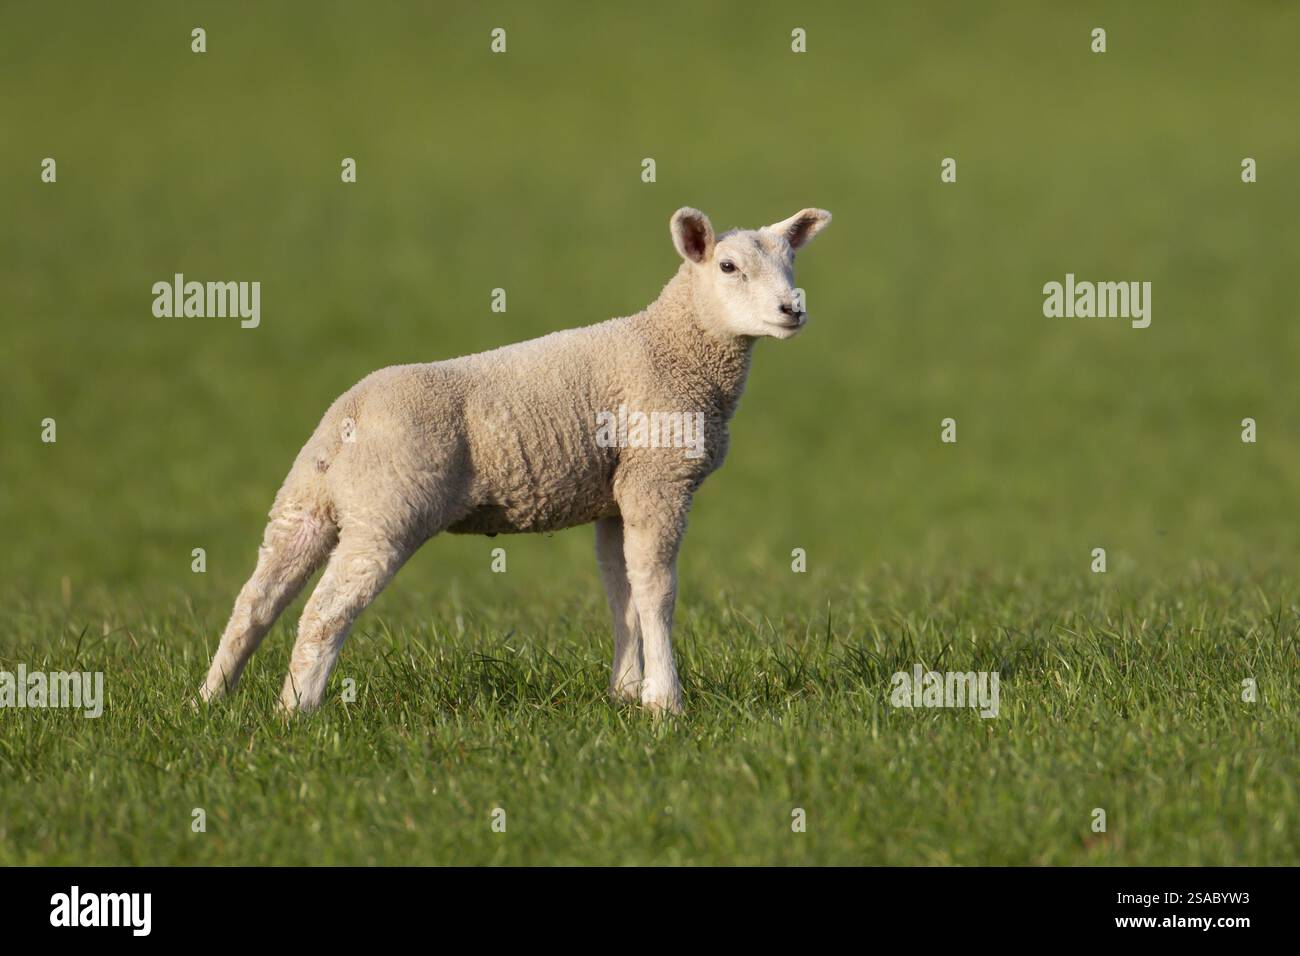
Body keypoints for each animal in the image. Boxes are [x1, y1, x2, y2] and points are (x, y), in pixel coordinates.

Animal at [199, 206, 832, 715]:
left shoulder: (616, 494)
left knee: (255, 602)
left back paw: (210, 700)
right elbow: (657, 590)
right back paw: (295, 710)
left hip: (304, 502)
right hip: (387, 510)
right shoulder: (657, 479)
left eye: (791, 263)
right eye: (727, 267)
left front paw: (625, 693)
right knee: (324, 611)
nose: (792, 309)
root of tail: (344, 418)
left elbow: (622, 594)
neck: (671, 346)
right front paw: (665, 702)